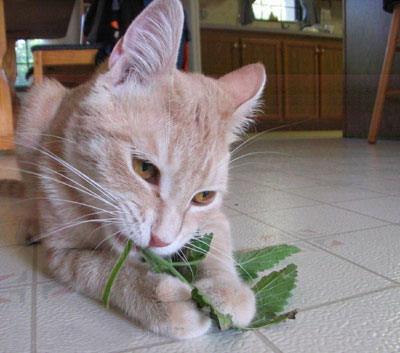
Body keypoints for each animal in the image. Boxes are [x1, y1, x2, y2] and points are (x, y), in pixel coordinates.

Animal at [11, 0, 266, 338]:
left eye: (203, 197)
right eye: (144, 168)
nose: (160, 240)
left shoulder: (212, 219)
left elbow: (217, 243)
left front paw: (227, 290)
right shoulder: (61, 255)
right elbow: (102, 269)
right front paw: (160, 298)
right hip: (39, 101)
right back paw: (30, 222)